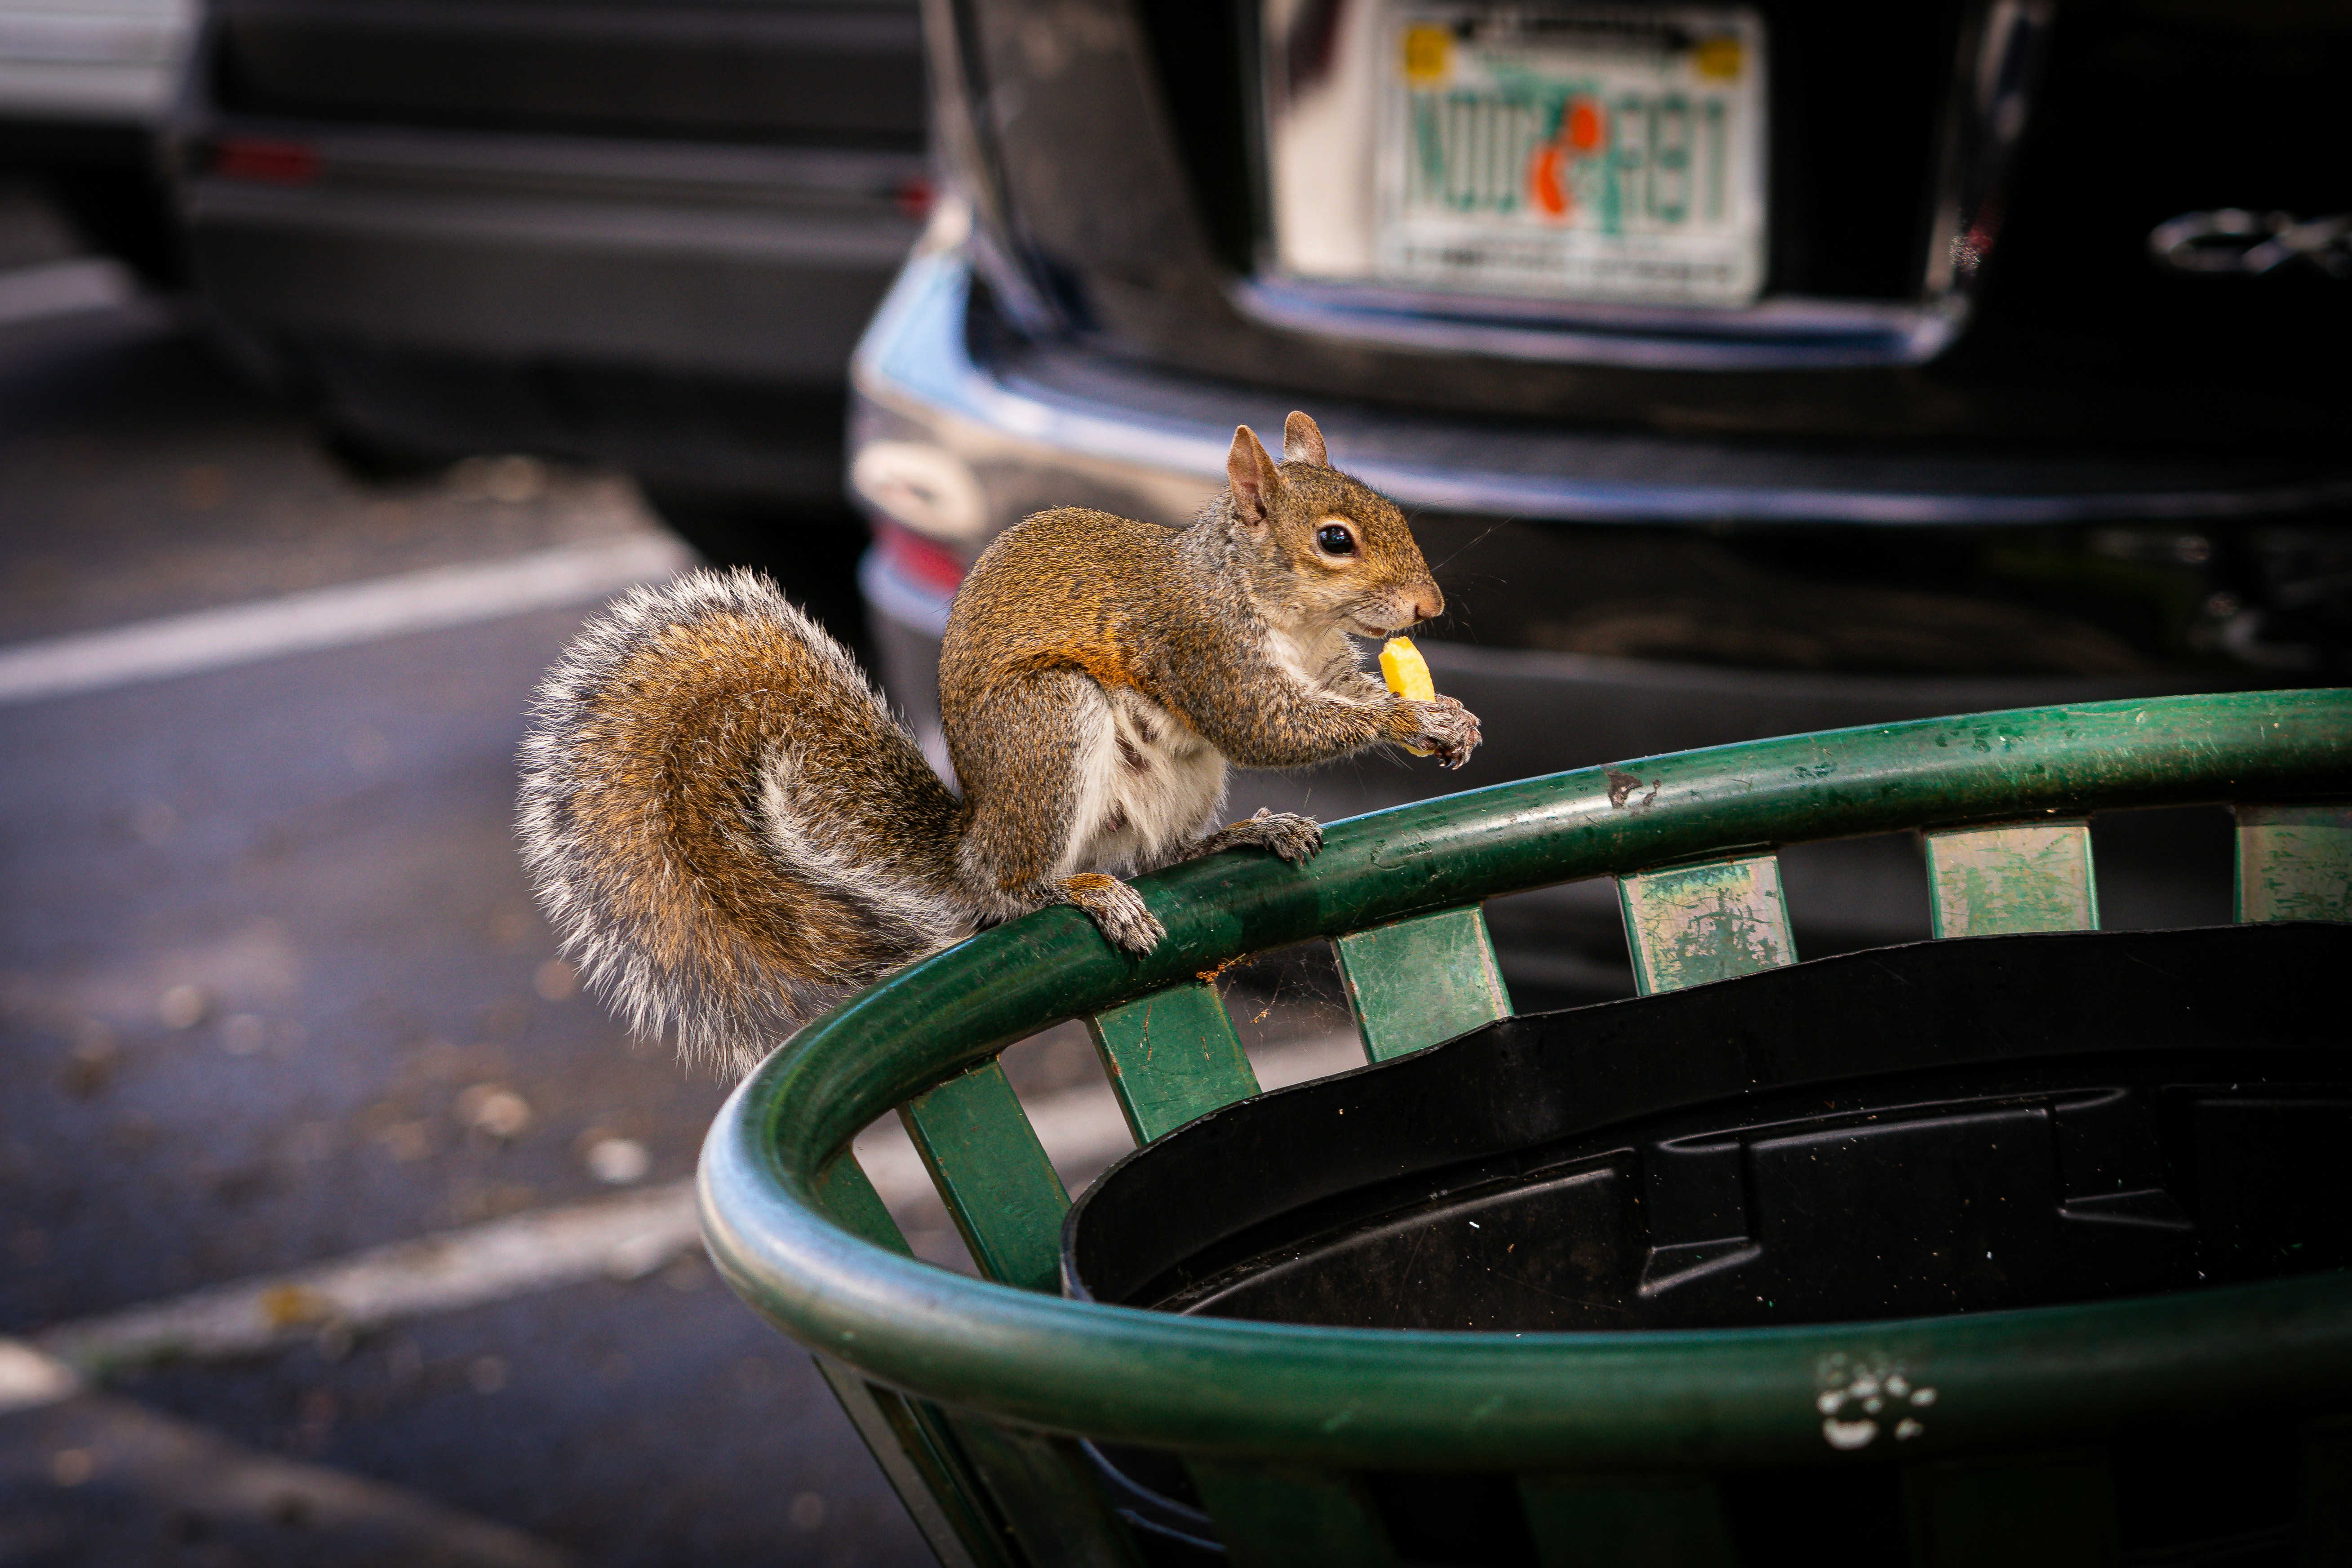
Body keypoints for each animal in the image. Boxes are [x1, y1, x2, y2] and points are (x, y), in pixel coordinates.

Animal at [517, 411, 1482, 1075]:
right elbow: (1271, 724)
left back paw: (1246, 832)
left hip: (1178, 780)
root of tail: (970, 838)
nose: (1431, 606)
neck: (1271, 603)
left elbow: (1346, 692)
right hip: (1049, 724)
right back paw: (1081, 892)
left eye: (1389, 508)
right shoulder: (1201, 646)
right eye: (1333, 540)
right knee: (1017, 887)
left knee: (1164, 850)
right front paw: (1405, 720)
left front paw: (1448, 716)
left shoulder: (1324, 660)